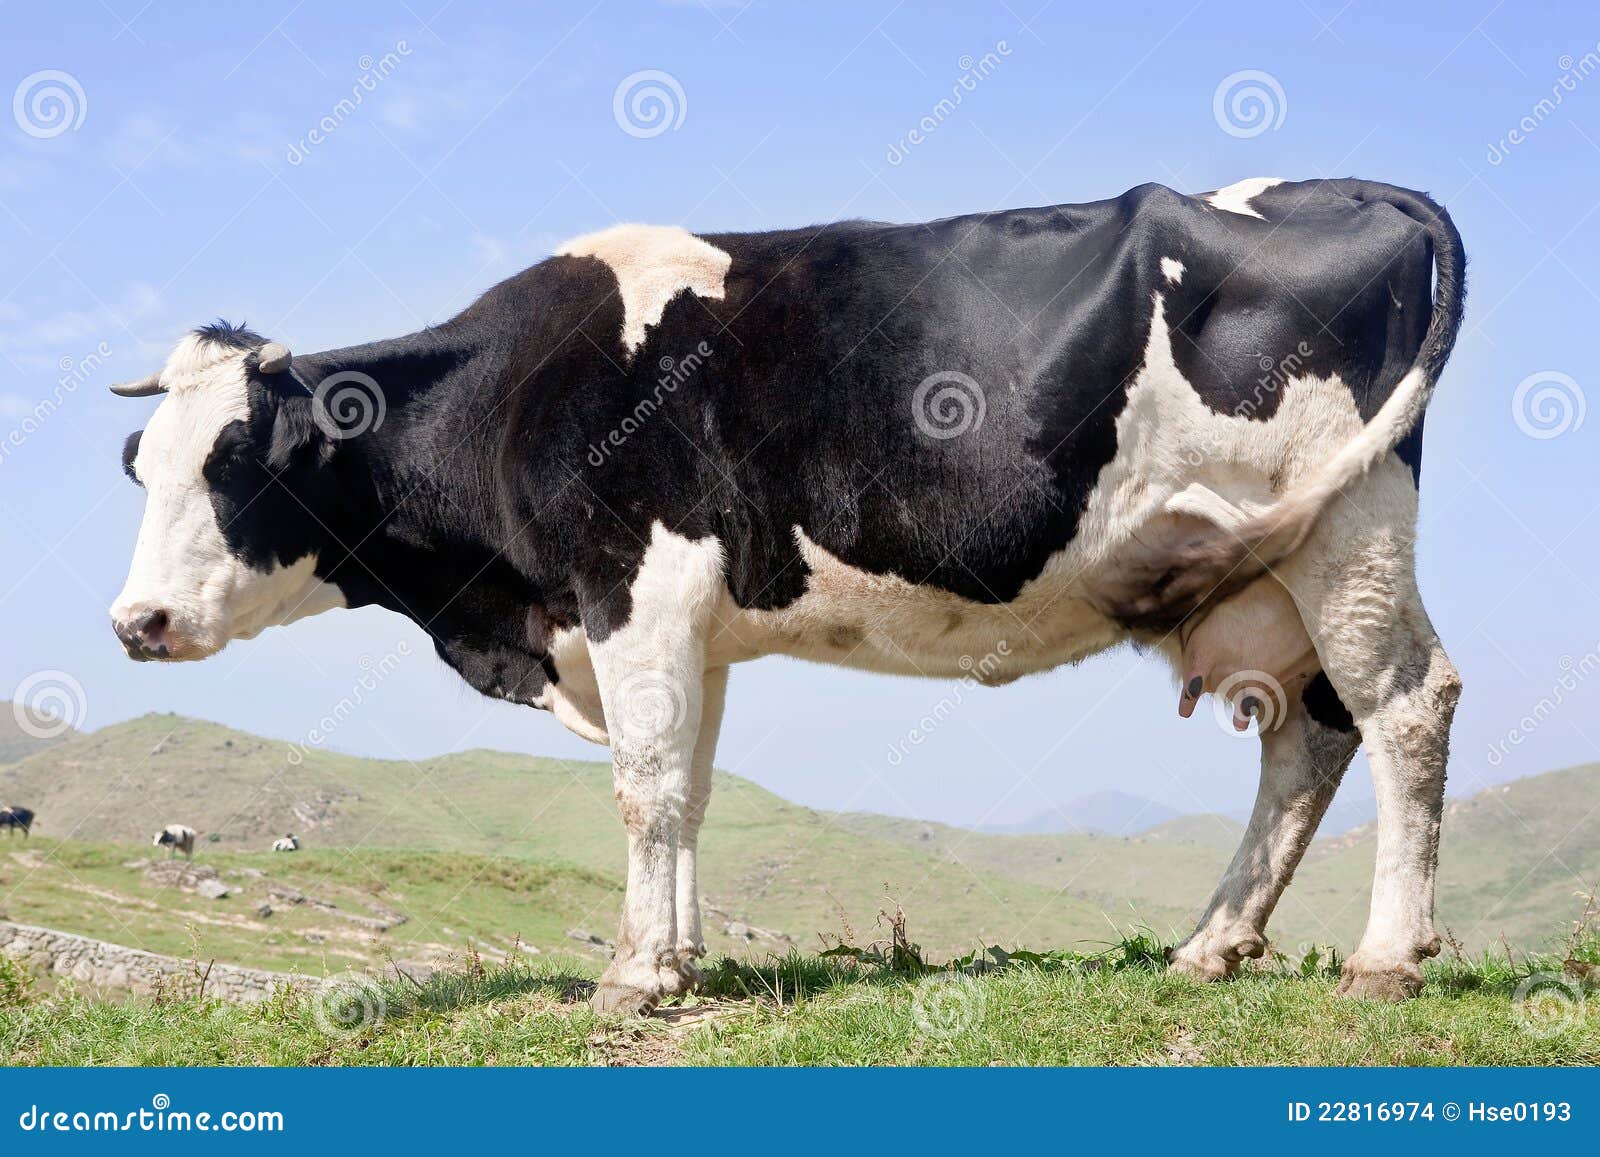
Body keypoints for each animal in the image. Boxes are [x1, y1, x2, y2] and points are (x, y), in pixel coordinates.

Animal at [108, 177, 1466, 1013]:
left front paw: (632, 976)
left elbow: (644, 789)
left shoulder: (634, 587)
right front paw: (681, 957)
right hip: (1282, 570)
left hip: (1343, 527)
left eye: (236, 460)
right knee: (1308, 739)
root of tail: (1355, 188)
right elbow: (688, 788)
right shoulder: (688, 630)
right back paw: (1210, 945)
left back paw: (1382, 958)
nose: (137, 623)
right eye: (140, 464)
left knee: (1405, 704)